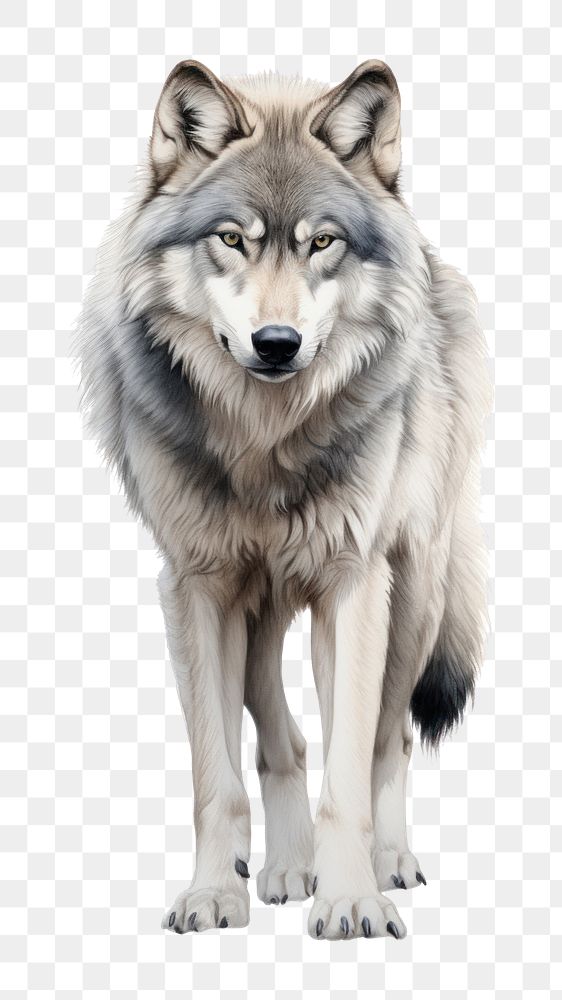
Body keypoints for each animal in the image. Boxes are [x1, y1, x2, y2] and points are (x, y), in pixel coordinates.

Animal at [74, 58, 492, 940]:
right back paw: (288, 869)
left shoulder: (353, 584)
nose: (276, 344)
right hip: (261, 601)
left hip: (413, 598)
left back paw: (387, 863)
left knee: (389, 738)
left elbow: (352, 764)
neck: (265, 444)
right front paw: (213, 893)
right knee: (284, 735)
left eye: (321, 242)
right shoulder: (196, 587)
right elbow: (217, 776)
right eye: (232, 238)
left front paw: (352, 901)